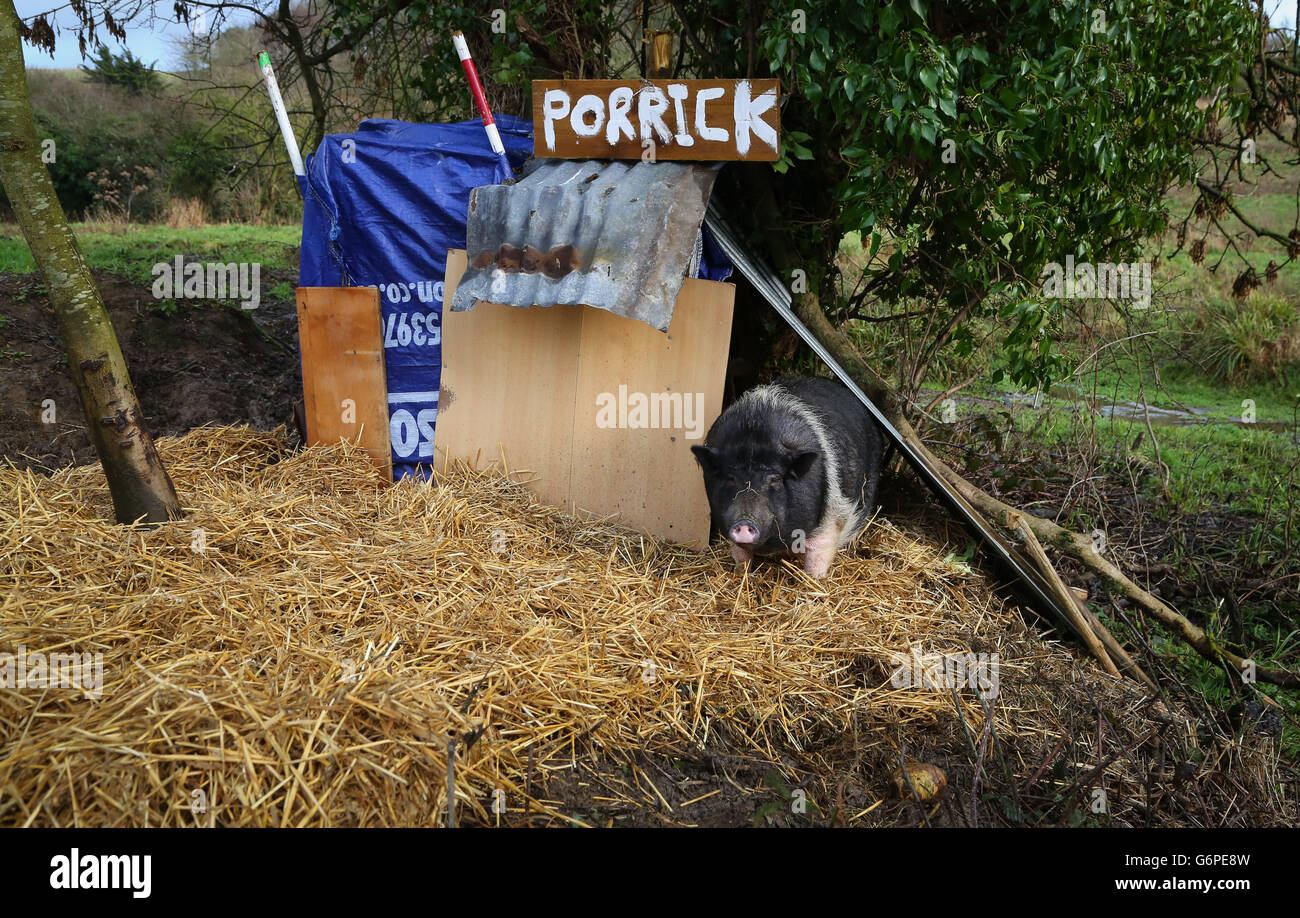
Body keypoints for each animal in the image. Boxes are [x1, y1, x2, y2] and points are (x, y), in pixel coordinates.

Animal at [691, 376, 885, 578]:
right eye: (730, 477)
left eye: (775, 479)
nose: (744, 522)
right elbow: (741, 557)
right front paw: (742, 575)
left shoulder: (832, 514)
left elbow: (818, 554)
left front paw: (815, 580)